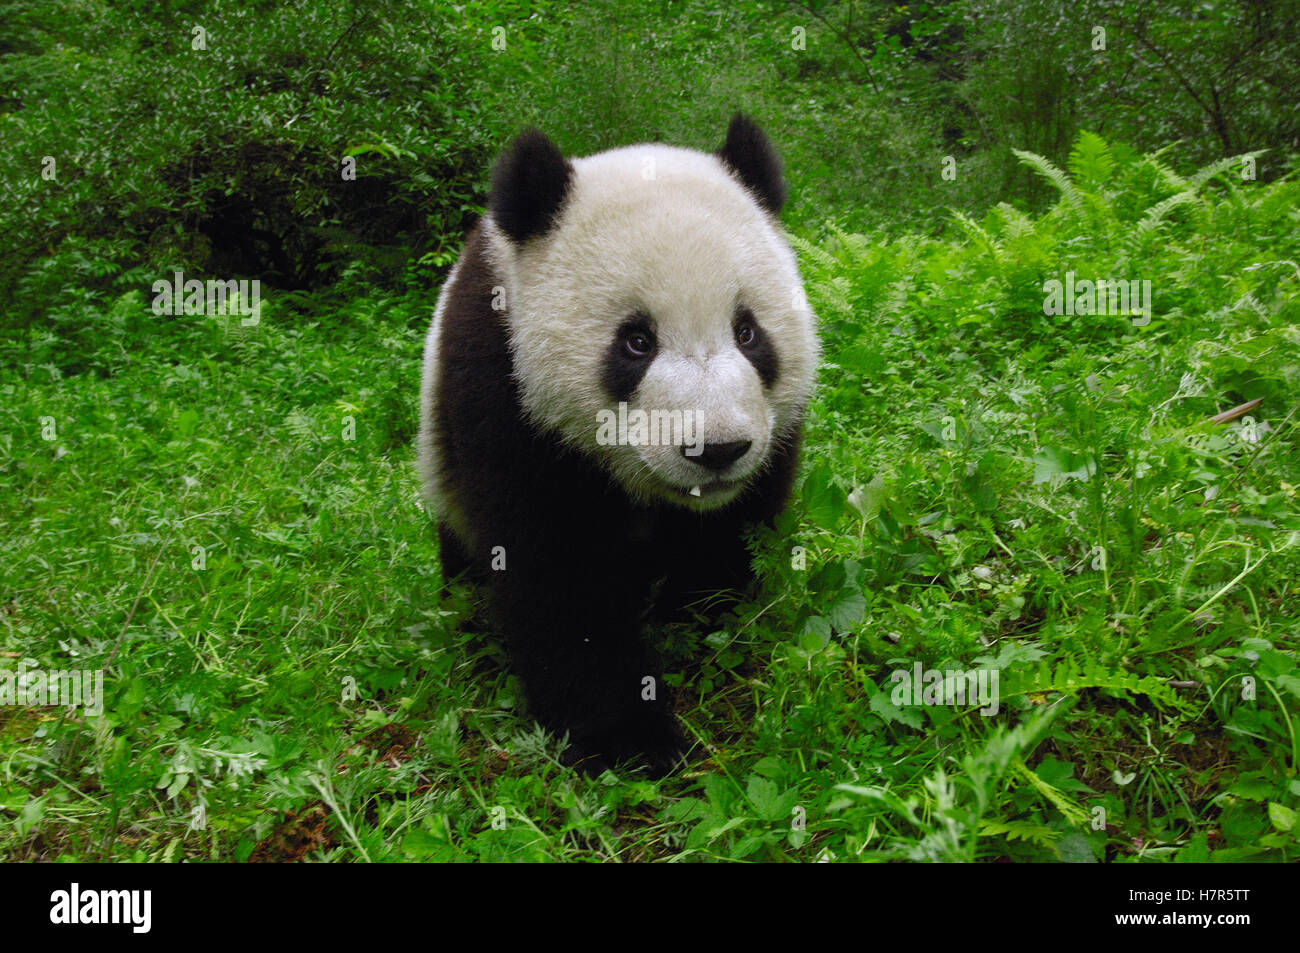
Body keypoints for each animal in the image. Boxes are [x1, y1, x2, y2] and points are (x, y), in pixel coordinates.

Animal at [418, 114, 819, 775]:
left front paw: (699, 620)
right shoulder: (502, 386)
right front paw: (630, 739)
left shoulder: (770, 436)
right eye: (636, 342)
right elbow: (554, 572)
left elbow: (730, 535)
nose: (717, 450)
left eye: (748, 332)